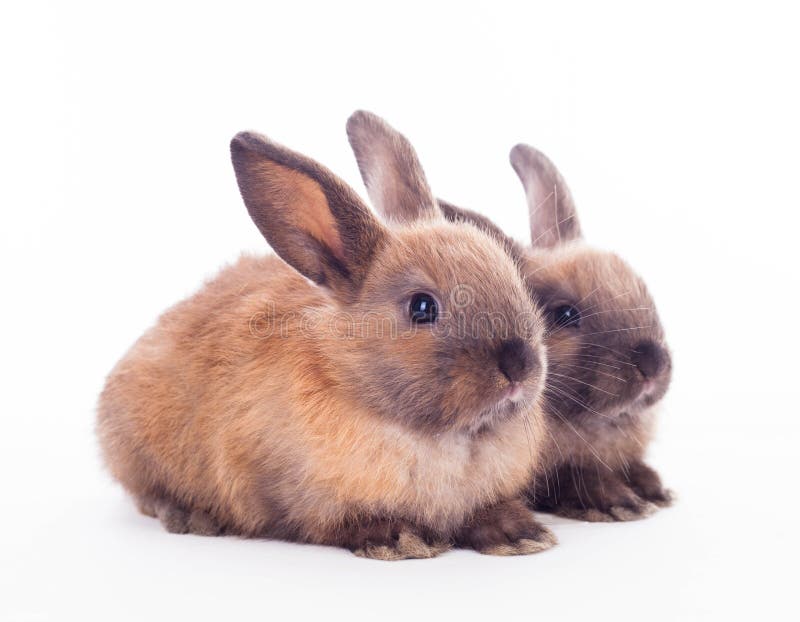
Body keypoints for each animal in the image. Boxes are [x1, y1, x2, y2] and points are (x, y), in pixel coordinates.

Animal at [96, 114, 558, 560]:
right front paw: (401, 540)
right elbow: (336, 522)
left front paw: (521, 535)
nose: (520, 366)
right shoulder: (292, 495)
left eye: (514, 279)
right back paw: (193, 517)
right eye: (422, 307)